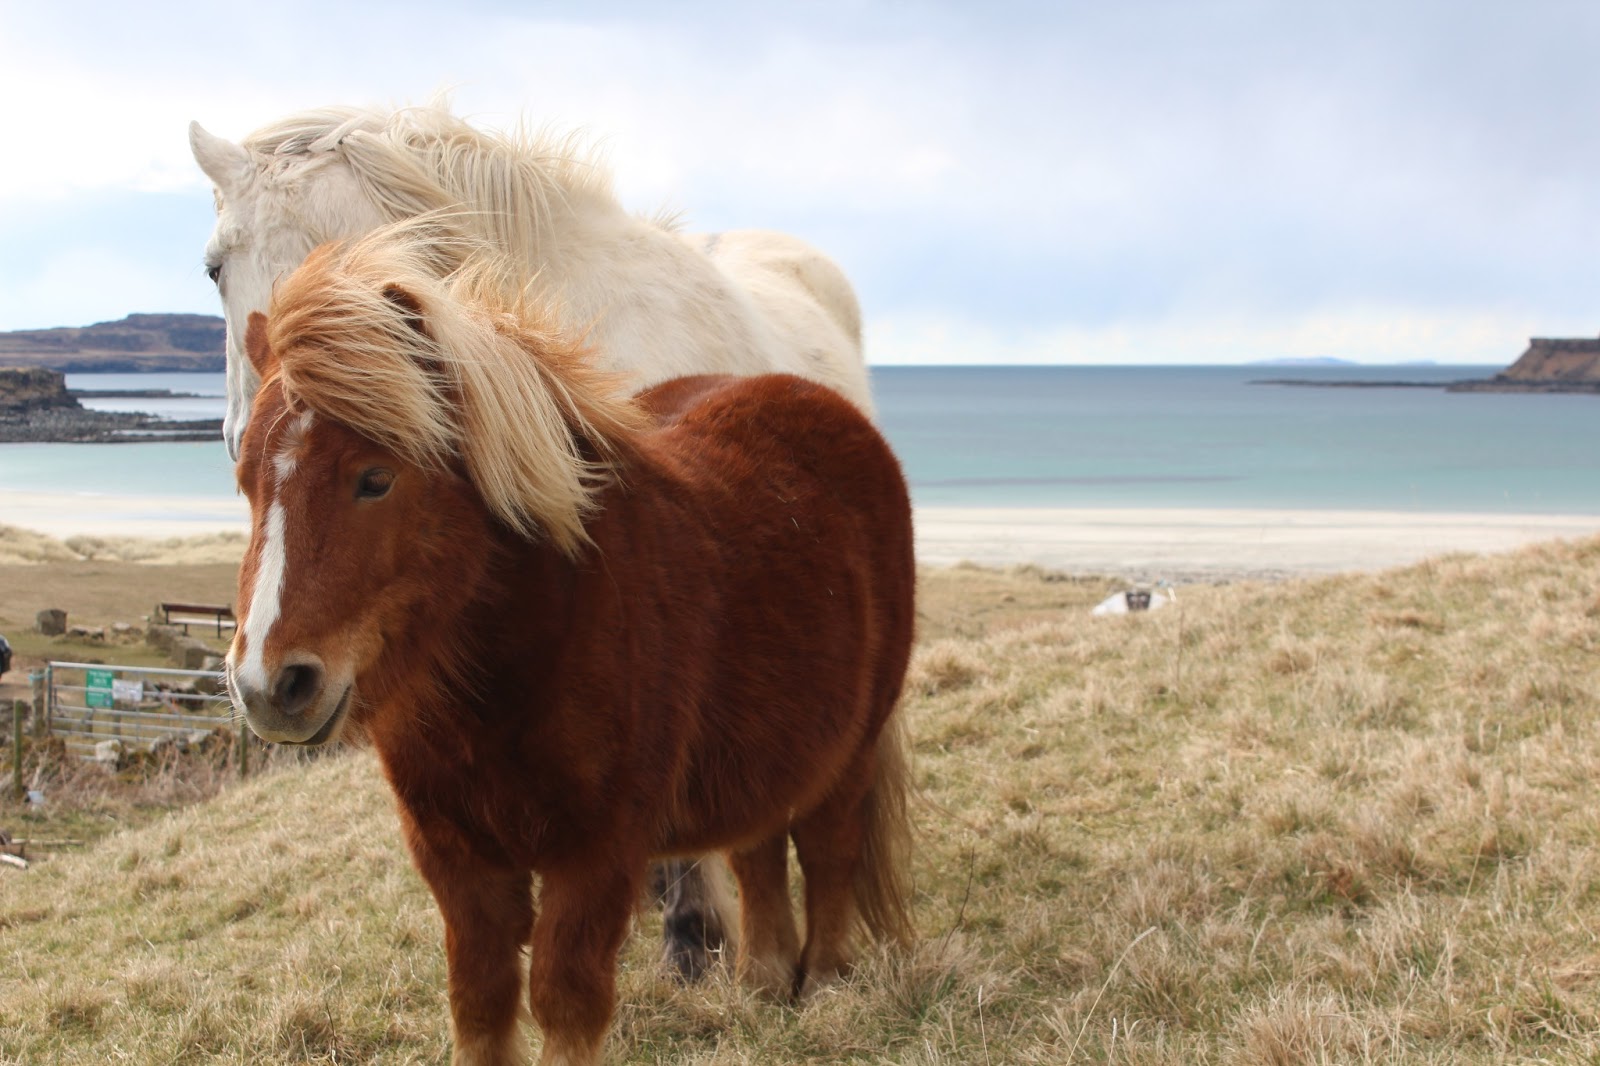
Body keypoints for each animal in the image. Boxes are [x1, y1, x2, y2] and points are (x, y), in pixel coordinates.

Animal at [225, 225, 916, 1066]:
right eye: (246, 481)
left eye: (375, 478)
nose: (269, 686)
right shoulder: (458, 864)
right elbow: (480, 1006)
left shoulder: (595, 857)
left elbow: (564, 1001)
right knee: (757, 852)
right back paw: (761, 980)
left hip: (852, 747)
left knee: (826, 846)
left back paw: (823, 986)